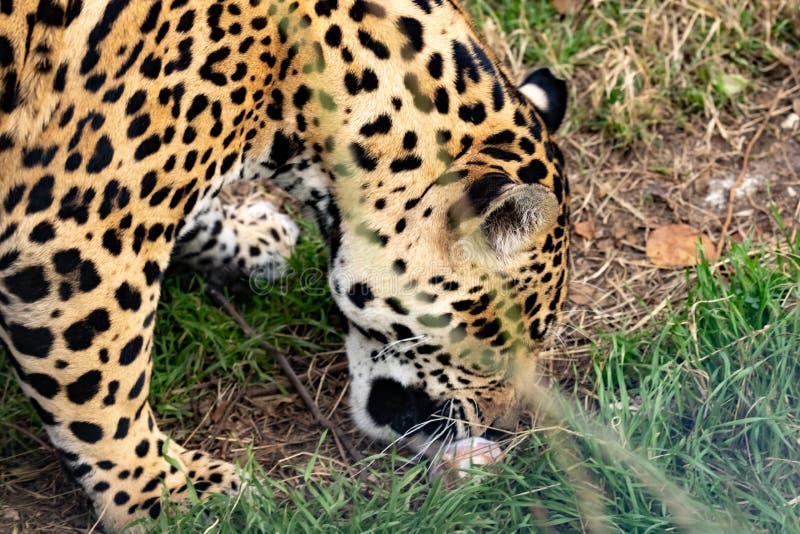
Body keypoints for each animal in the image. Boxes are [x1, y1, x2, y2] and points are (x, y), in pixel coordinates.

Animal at [0, 0, 569, 530]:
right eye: (501, 339)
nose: (502, 428)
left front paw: (251, 240)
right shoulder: (76, 237)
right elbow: (103, 390)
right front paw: (165, 494)